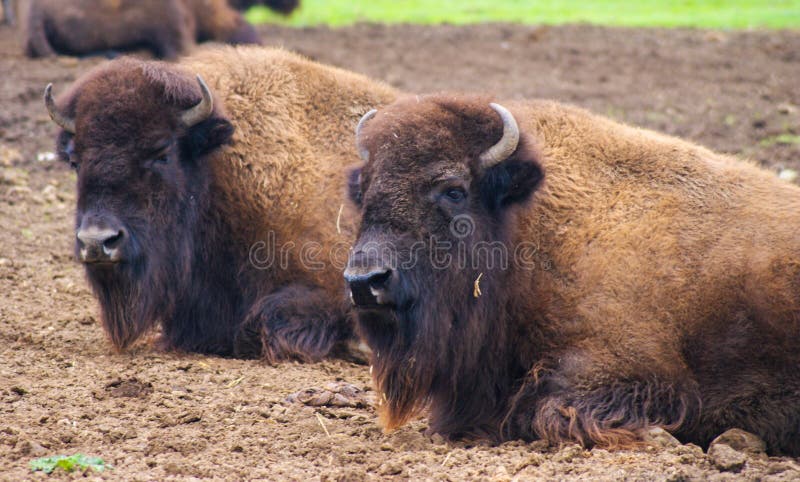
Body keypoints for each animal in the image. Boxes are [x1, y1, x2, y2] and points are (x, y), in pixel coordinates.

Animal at [345, 94, 800, 455]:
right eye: (364, 191)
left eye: (454, 190)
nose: (365, 281)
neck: (535, 225)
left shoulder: (627, 368)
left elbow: (538, 410)